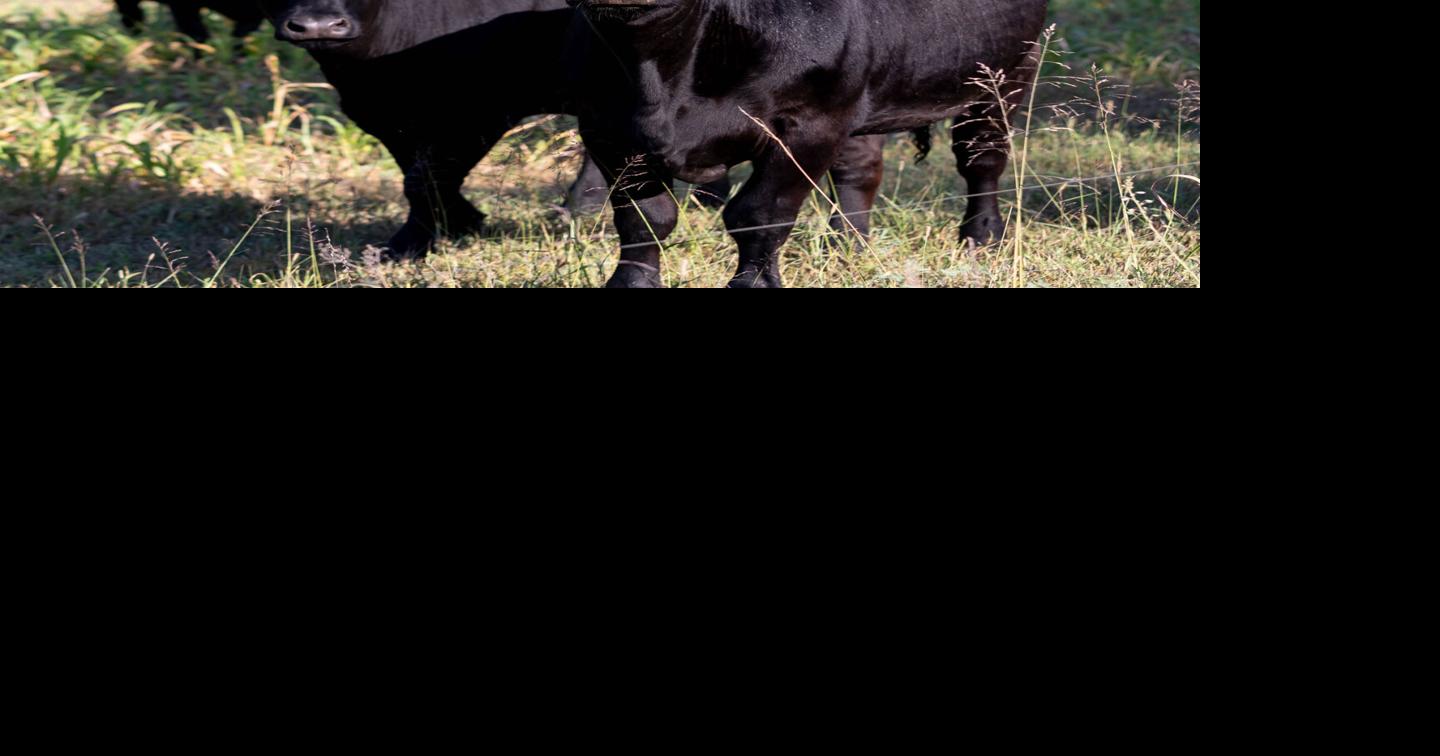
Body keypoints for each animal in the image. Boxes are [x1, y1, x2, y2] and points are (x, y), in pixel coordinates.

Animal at [260, 0, 895, 259]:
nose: (317, 24)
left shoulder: (479, 107)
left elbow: (425, 176)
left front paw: (416, 243)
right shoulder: (393, 116)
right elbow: (417, 173)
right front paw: (449, 225)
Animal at [568, 0, 1049, 288]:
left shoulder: (809, 126)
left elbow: (758, 215)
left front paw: (755, 284)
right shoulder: (606, 130)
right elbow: (644, 219)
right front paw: (631, 284)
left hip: (1006, 74)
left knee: (982, 160)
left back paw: (982, 238)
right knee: (859, 172)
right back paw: (848, 247)